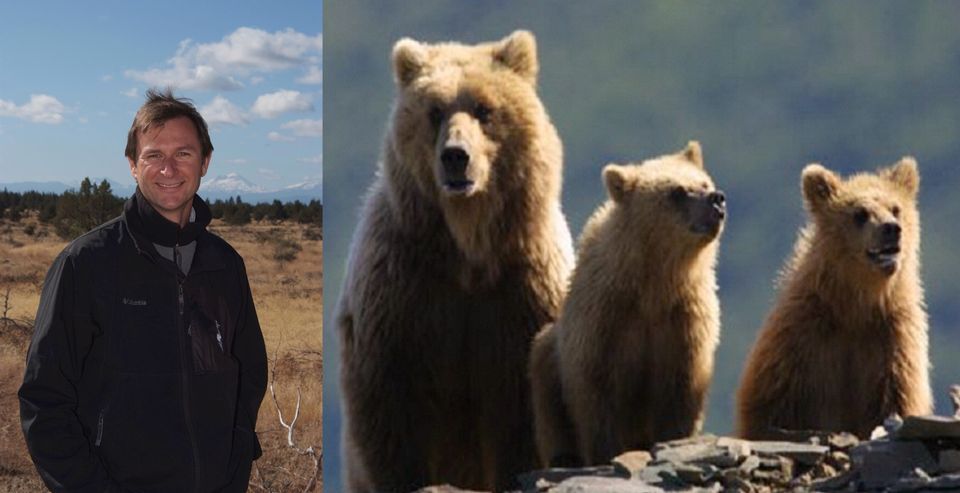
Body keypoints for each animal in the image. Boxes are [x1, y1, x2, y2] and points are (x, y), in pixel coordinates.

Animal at [336, 30, 574, 493]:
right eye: (435, 111)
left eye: (484, 109)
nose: (455, 156)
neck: (468, 249)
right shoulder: (403, 289)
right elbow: (392, 404)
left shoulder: (521, 292)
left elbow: (522, 410)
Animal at [530, 142, 726, 467]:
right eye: (677, 191)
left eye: (704, 183)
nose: (717, 200)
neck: (654, 286)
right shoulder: (604, 322)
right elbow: (597, 396)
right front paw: (606, 452)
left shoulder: (685, 321)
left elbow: (681, 391)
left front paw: (673, 440)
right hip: (547, 361)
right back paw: (564, 456)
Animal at [736, 158, 932, 440]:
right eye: (860, 213)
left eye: (895, 208)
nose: (891, 229)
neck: (856, 303)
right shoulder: (802, 340)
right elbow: (773, 405)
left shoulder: (892, 342)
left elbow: (895, 398)